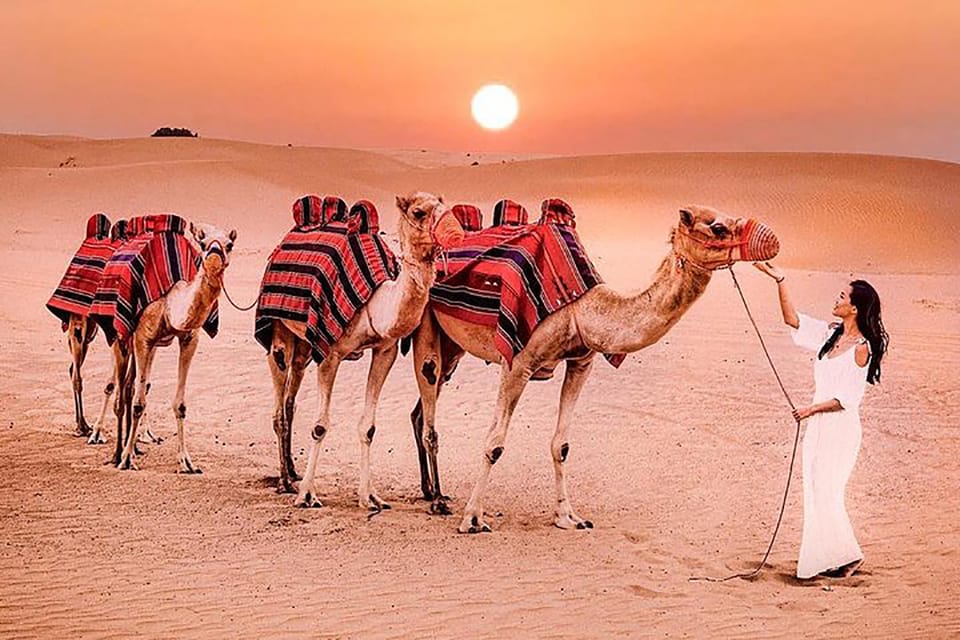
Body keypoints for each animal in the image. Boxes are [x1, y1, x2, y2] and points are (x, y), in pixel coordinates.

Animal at [111, 222, 236, 472]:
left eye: (229, 245)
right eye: (203, 243)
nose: (213, 261)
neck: (170, 303)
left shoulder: (189, 339)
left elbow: (180, 405)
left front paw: (186, 462)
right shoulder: (143, 338)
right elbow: (138, 403)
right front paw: (127, 459)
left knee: (130, 385)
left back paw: (136, 446)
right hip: (121, 336)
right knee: (121, 390)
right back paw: (117, 452)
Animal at [267, 192, 449, 509]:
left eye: (444, 206)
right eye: (419, 212)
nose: (453, 230)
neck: (375, 302)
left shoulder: (385, 351)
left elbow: (369, 428)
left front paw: (370, 497)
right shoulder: (331, 353)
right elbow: (320, 427)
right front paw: (308, 495)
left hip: (305, 345)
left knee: (290, 400)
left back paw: (292, 469)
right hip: (279, 330)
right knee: (279, 406)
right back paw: (285, 481)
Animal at [409, 205, 780, 532]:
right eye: (717, 227)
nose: (772, 239)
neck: (581, 310)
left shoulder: (581, 362)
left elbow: (561, 445)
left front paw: (568, 517)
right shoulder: (518, 363)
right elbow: (494, 444)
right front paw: (473, 519)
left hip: (453, 346)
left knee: (418, 412)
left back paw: (429, 491)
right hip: (426, 323)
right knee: (429, 411)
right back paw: (438, 500)